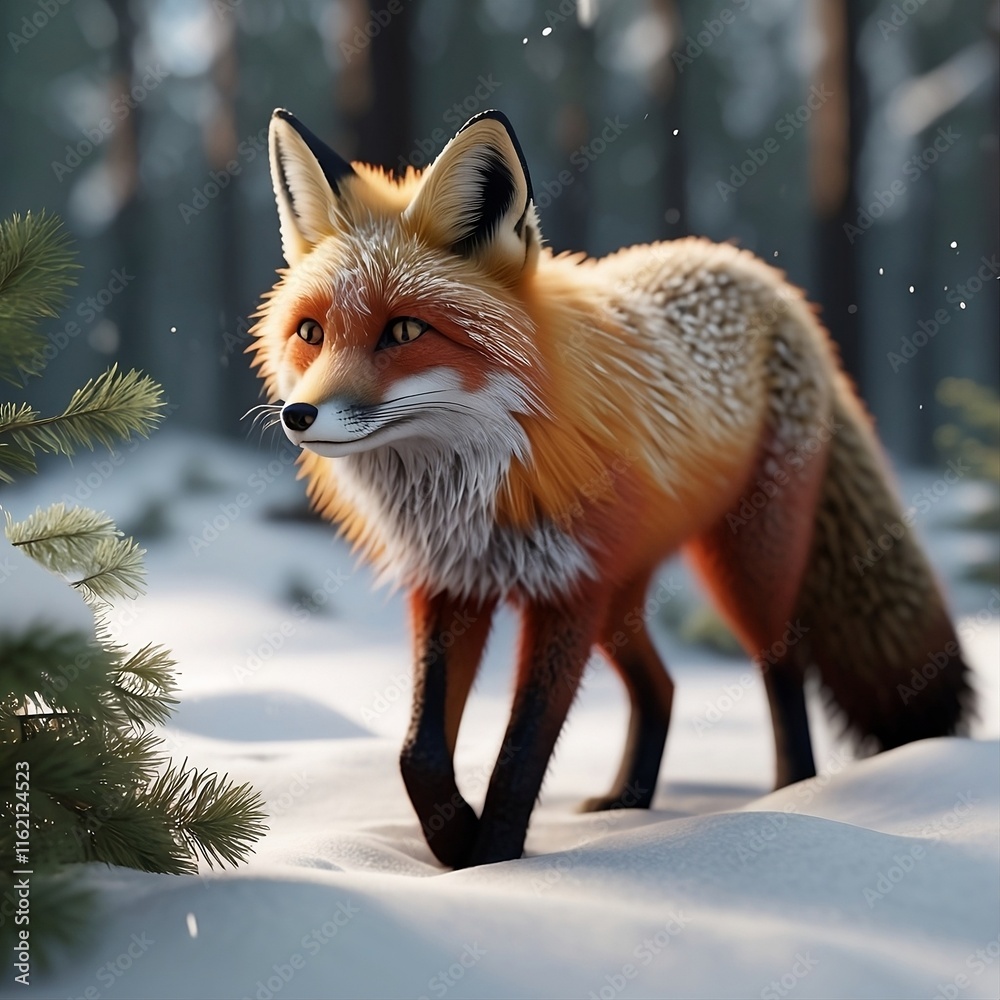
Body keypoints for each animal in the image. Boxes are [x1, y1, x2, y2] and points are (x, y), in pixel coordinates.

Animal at [250, 107, 973, 869]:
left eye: (405, 330)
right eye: (310, 332)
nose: (299, 415)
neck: (473, 490)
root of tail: (760, 274)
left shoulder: (567, 591)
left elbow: (519, 757)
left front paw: (494, 861)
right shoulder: (451, 584)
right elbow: (418, 753)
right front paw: (454, 846)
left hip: (742, 562)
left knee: (783, 666)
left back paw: (789, 796)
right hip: (623, 593)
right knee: (663, 687)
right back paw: (630, 803)